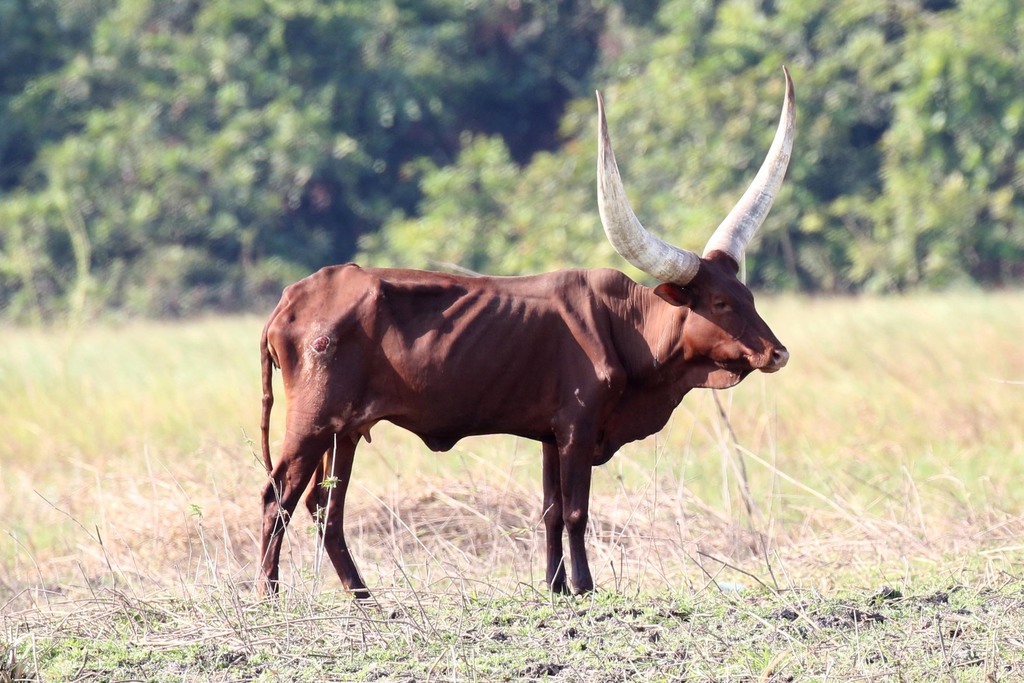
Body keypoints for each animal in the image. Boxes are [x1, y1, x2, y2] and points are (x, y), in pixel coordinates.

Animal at [258, 68, 795, 599]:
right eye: (721, 303)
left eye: (748, 296)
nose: (778, 353)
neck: (625, 326)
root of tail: (289, 299)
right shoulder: (578, 427)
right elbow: (576, 511)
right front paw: (584, 587)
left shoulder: (549, 435)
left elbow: (551, 511)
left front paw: (555, 586)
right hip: (311, 423)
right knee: (278, 495)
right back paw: (269, 593)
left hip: (343, 432)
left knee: (325, 508)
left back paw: (363, 595)